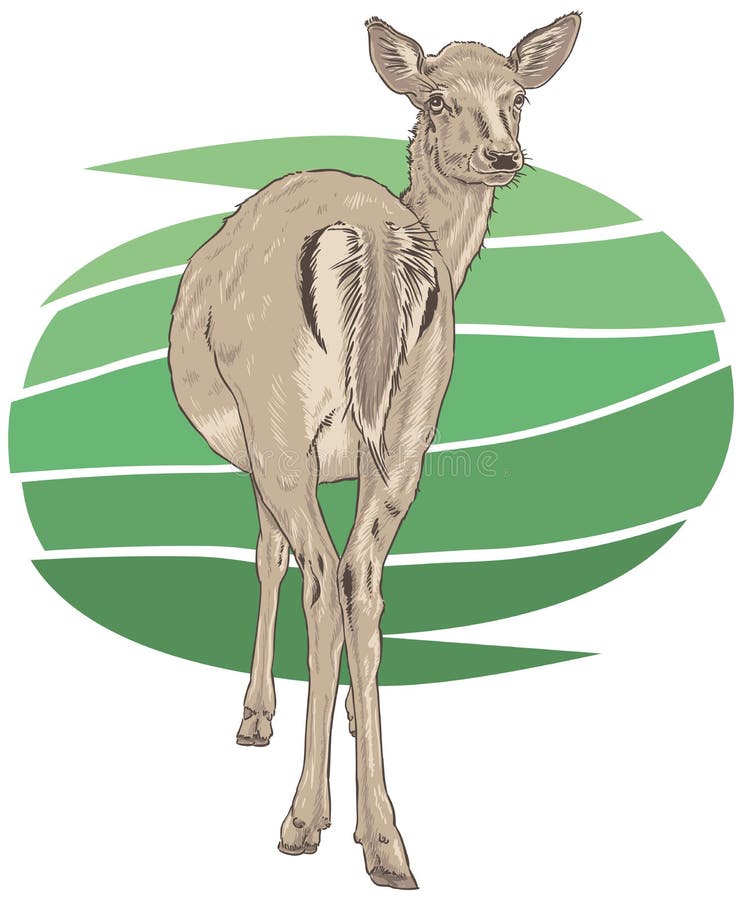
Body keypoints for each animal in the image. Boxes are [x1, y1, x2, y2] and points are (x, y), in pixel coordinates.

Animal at [168, 13, 581, 889]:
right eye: (435, 97)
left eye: (518, 94)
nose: (503, 155)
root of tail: (375, 237)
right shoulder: (357, 460)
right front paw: (349, 717)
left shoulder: (262, 453)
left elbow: (268, 558)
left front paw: (256, 716)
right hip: (410, 427)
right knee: (363, 578)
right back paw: (387, 840)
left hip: (283, 425)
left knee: (325, 577)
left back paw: (305, 821)